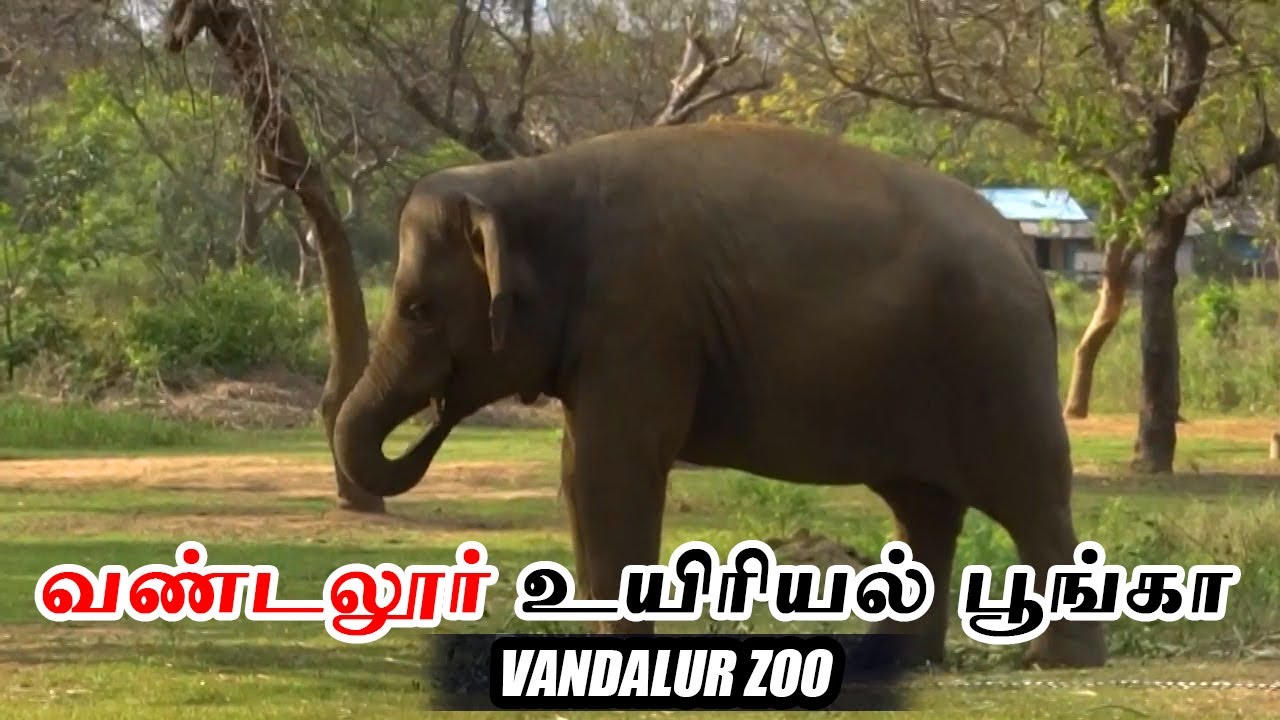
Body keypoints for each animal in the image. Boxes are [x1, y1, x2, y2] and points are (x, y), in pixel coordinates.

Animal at [332, 121, 1107, 669]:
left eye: (418, 311)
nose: (439, 411)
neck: (525, 180)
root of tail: (1026, 257)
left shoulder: (640, 314)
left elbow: (610, 467)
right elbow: (581, 469)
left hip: (996, 363)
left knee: (1028, 498)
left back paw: (1055, 663)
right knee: (925, 508)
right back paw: (896, 659)